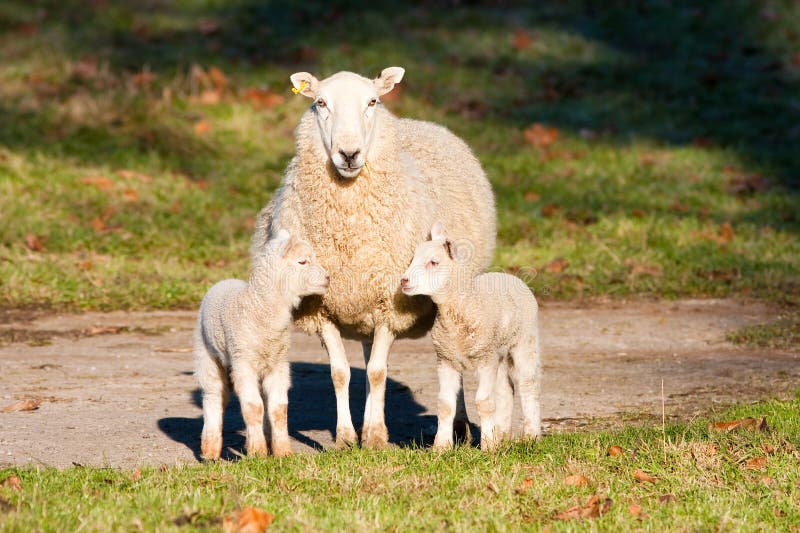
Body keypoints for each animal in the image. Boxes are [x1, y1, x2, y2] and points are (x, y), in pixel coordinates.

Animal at [194, 229, 329, 460]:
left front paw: (283, 452)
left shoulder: (278, 364)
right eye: (302, 261)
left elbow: (278, 409)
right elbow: (253, 407)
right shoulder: (243, 363)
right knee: (213, 395)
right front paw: (257, 452)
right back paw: (210, 452)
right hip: (206, 352)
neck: (259, 307)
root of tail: (223, 281)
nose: (328, 278)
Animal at [251, 67, 496, 448]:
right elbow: (340, 374)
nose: (348, 153)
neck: (349, 230)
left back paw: (458, 426)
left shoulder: (391, 305)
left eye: (372, 101)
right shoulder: (321, 306)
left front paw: (377, 437)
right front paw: (347, 437)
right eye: (320, 103)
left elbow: (379, 373)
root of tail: (420, 122)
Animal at [400, 222, 541, 451]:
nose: (404, 280)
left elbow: (483, 402)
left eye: (434, 262)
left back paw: (531, 436)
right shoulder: (446, 358)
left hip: (524, 340)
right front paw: (441, 447)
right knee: (505, 389)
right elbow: (445, 405)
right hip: (496, 351)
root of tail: (509, 276)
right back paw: (502, 435)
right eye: (412, 258)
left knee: (528, 385)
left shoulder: (484, 359)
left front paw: (489, 447)